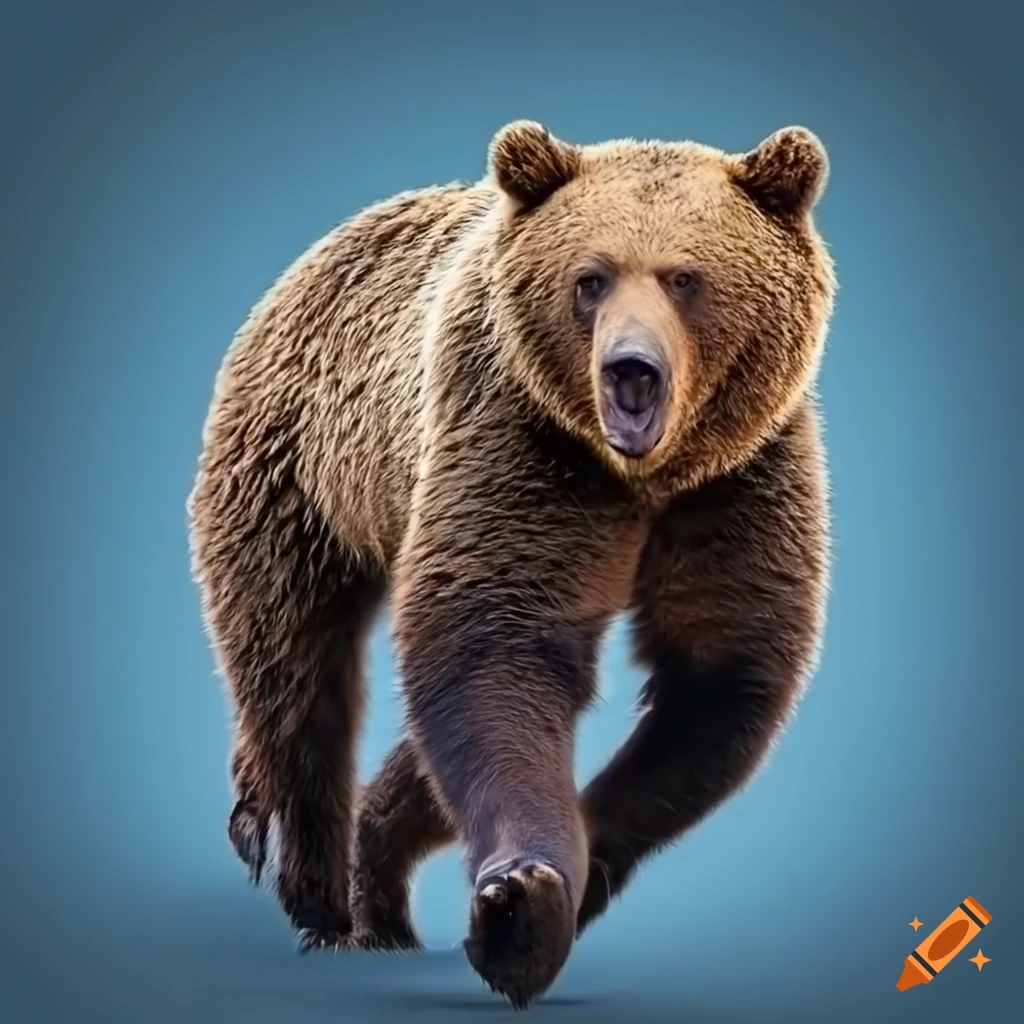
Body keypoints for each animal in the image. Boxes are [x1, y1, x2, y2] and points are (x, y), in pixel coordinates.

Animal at [188, 118, 835, 1008]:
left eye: (684, 277)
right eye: (591, 279)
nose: (630, 367)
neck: (639, 478)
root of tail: (300, 270)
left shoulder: (738, 479)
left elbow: (719, 683)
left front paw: (530, 902)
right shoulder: (518, 440)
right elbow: (492, 647)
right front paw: (520, 904)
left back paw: (377, 882)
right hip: (300, 472)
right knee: (294, 675)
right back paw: (319, 901)